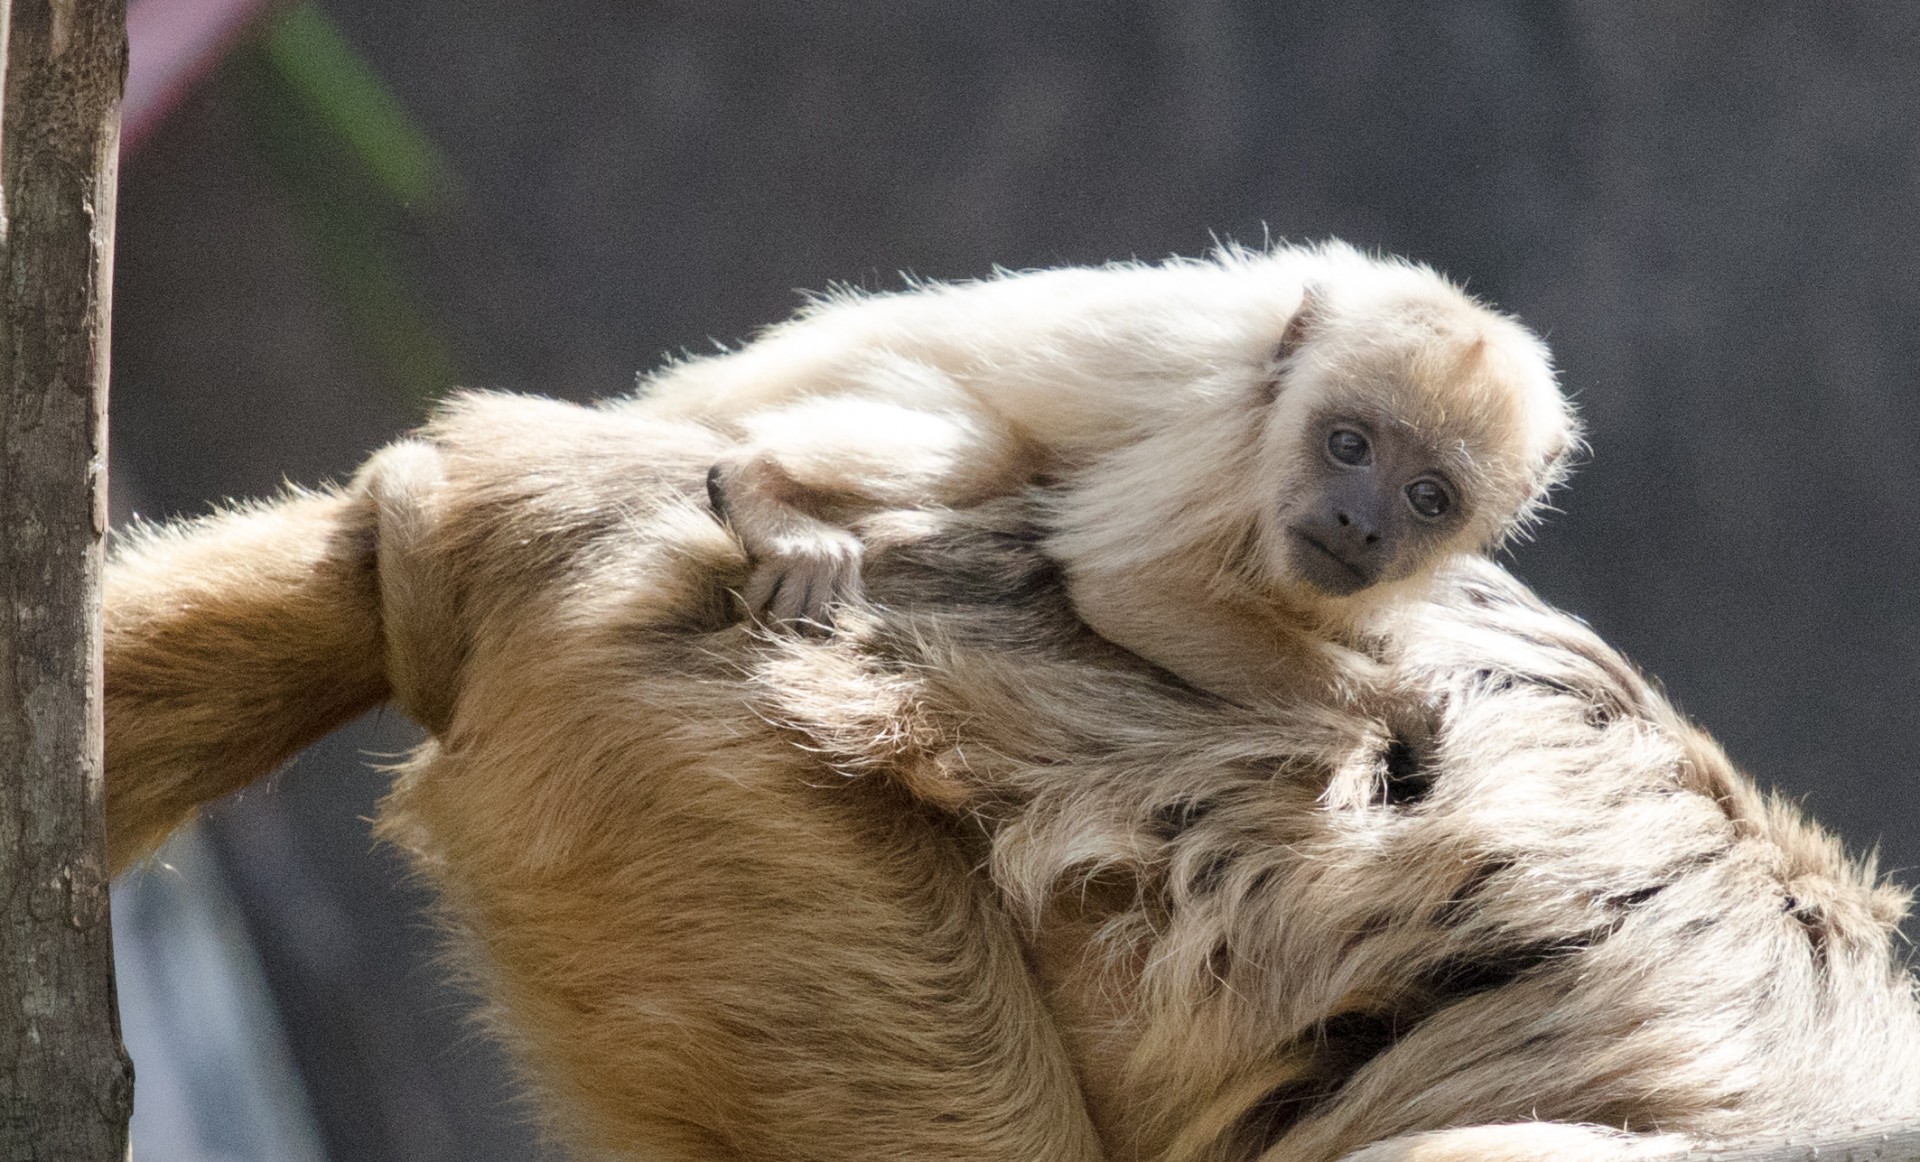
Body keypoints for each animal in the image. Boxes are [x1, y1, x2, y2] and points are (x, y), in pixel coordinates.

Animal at [645, 241, 1577, 703]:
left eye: (1428, 497)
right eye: (1348, 446)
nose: (1358, 522)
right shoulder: (1217, 438)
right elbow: (1128, 589)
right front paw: (1405, 704)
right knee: (989, 450)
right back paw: (759, 484)